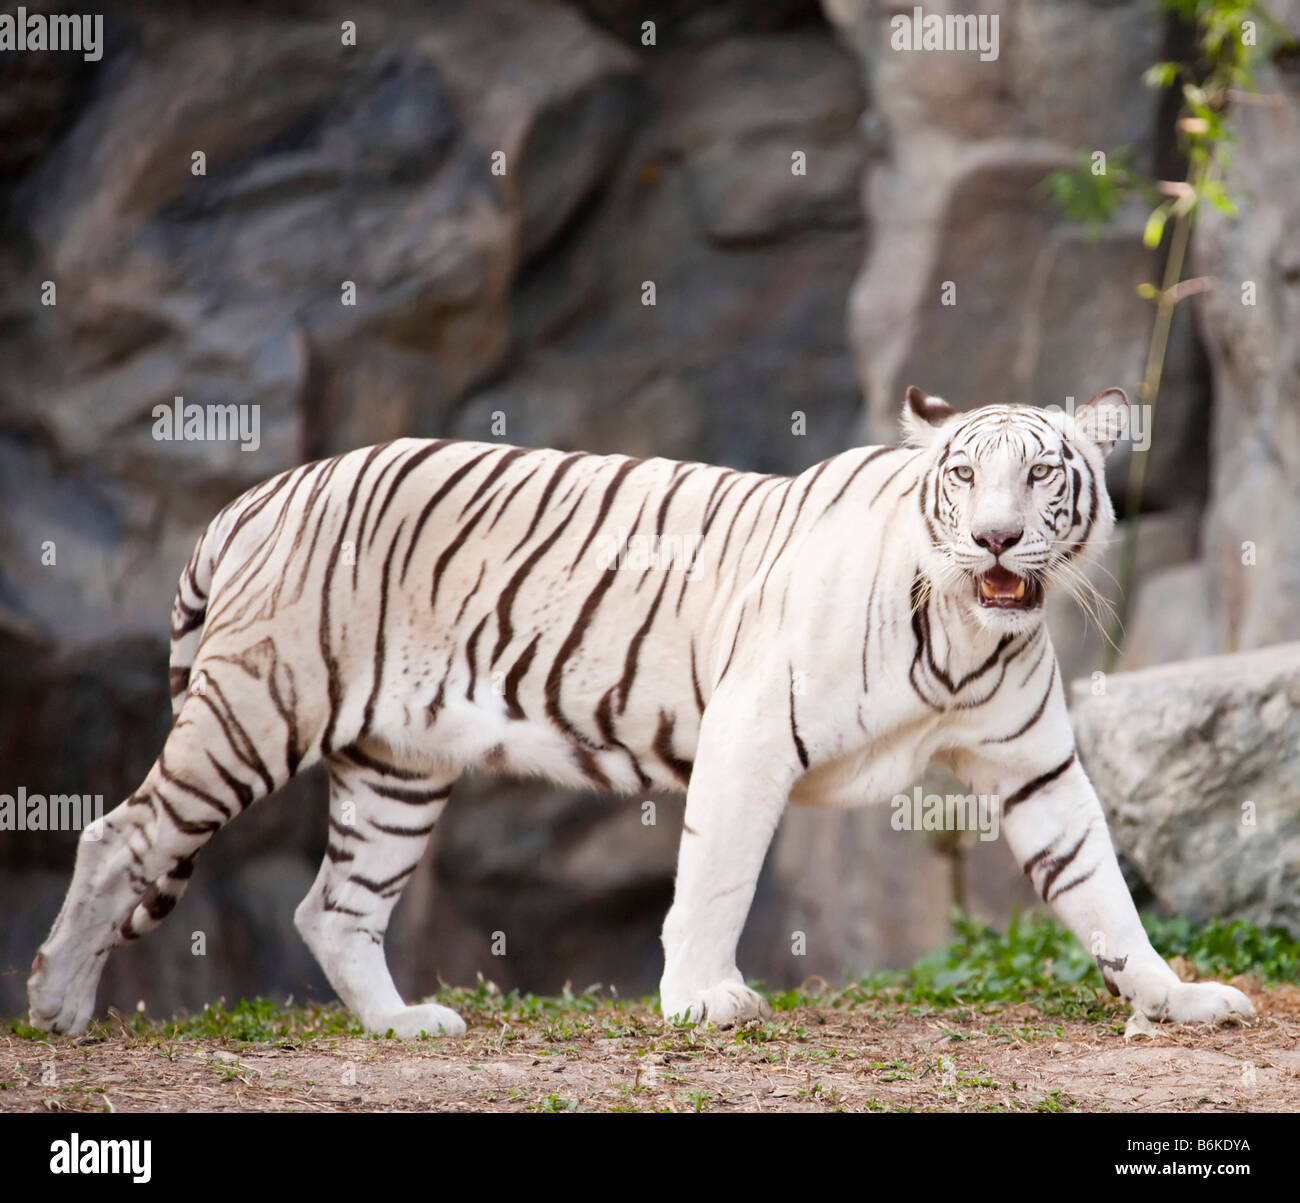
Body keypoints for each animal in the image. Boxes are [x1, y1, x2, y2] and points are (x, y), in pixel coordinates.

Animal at [28, 386, 1254, 1037]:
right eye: (962, 478)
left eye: (1042, 475)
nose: (997, 539)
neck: (966, 637)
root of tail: (258, 494)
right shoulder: (753, 731)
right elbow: (715, 880)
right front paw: (702, 999)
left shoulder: (1036, 768)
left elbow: (1100, 891)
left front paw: (1176, 997)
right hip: (258, 709)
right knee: (119, 835)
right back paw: (57, 1006)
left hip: (395, 765)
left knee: (334, 906)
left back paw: (403, 1025)